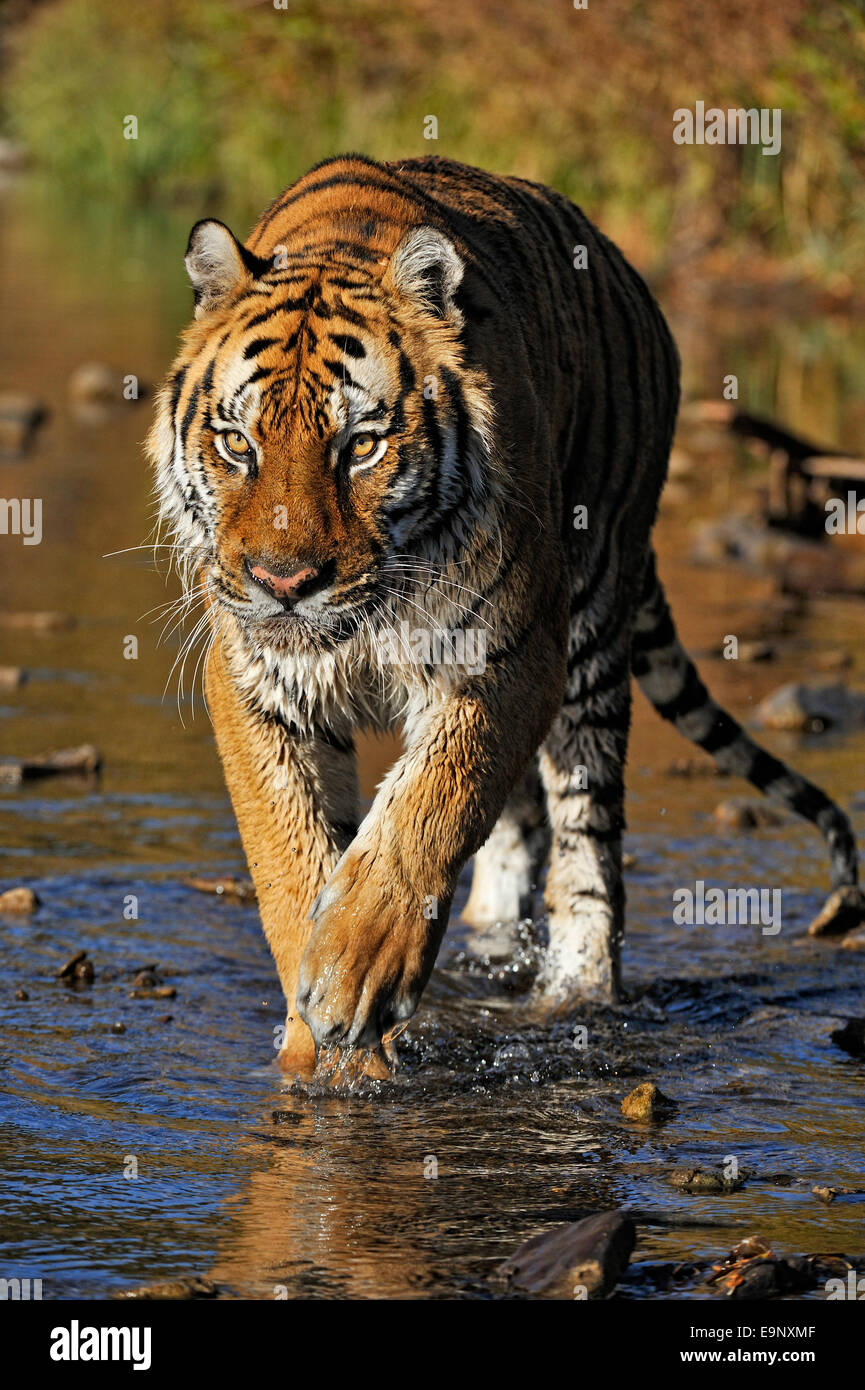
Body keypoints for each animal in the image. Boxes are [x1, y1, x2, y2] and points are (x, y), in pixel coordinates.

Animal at [149, 153, 863, 1079]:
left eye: (361, 446)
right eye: (239, 445)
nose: (283, 581)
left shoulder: (510, 654)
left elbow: (428, 810)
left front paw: (354, 975)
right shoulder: (255, 677)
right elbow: (292, 849)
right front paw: (319, 1049)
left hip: (594, 627)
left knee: (587, 848)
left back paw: (576, 992)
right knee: (517, 827)